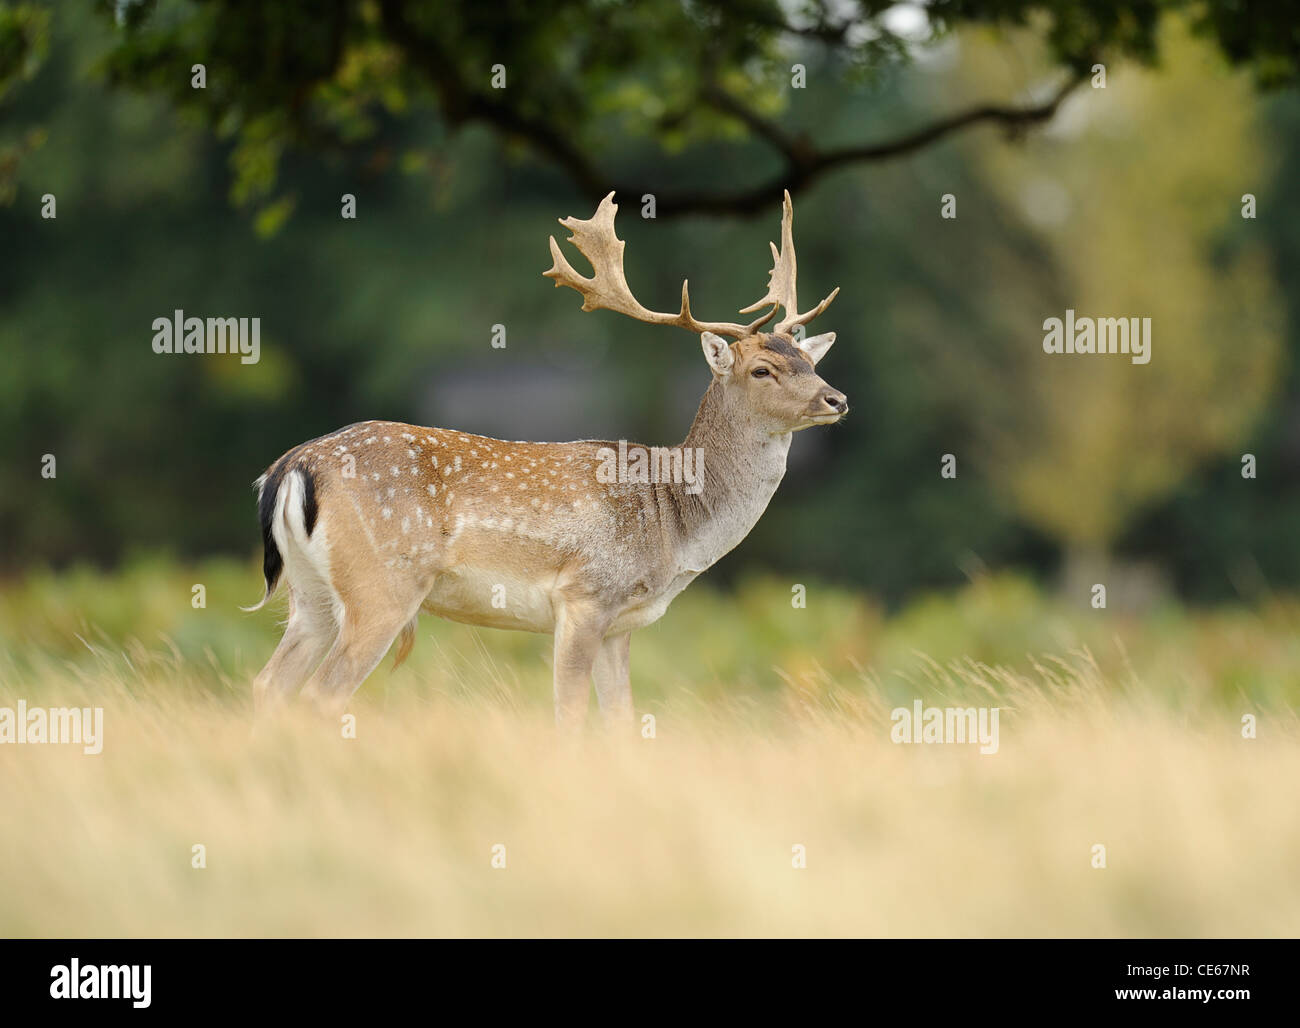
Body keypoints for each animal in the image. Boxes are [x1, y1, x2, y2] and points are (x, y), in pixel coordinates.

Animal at [248, 189, 847, 727]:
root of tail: (289, 469)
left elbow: (622, 721)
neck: (670, 523)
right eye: (762, 370)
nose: (836, 399)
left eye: (810, 362)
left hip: (310, 594)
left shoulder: (621, 625)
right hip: (382, 585)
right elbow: (569, 717)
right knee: (319, 695)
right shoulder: (583, 596)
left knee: (268, 686)